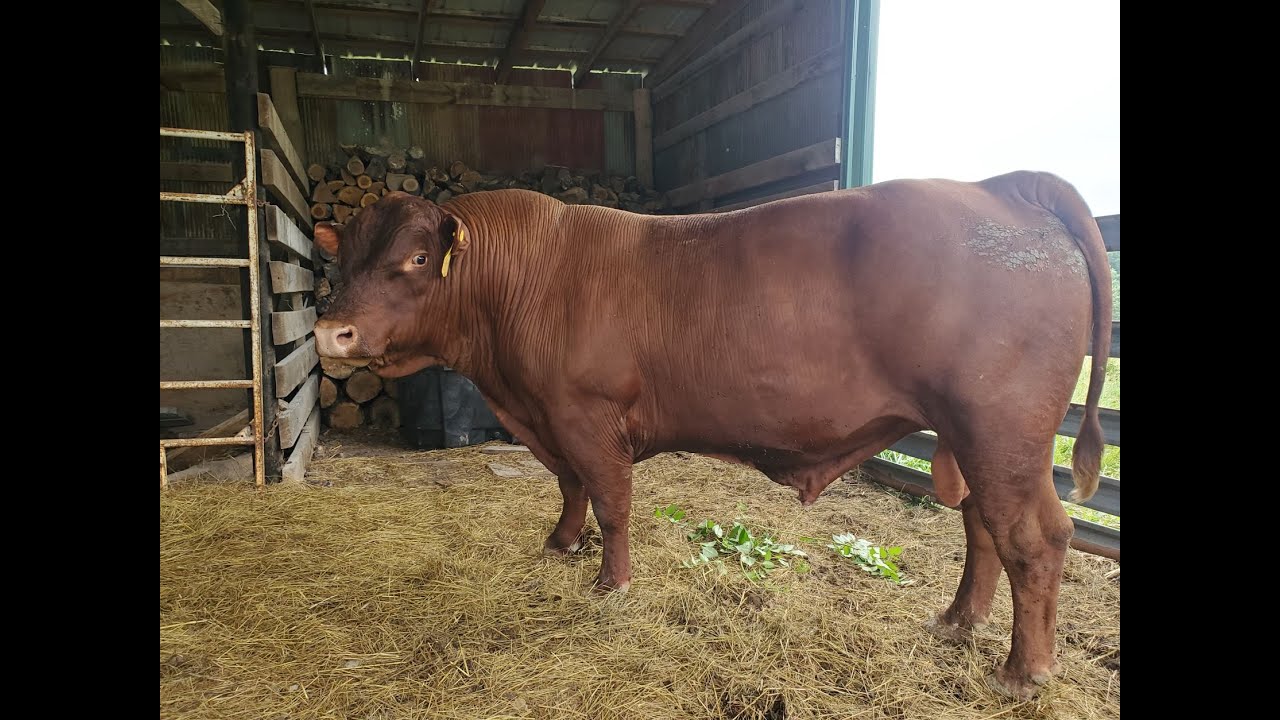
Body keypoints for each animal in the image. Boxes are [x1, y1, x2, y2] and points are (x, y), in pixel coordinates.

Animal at [312, 170, 1112, 700]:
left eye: (417, 258)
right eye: (342, 256)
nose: (329, 332)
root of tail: (1001, 186)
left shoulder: (586, 416)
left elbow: (612, 502)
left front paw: (611, 584)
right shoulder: (548, 420)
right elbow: (569, 486)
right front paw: (561, 544)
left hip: (1002, 434)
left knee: (1034, 538)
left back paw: (1023, 672)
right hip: (973, 439)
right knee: (982, 526)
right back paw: (956, 622)